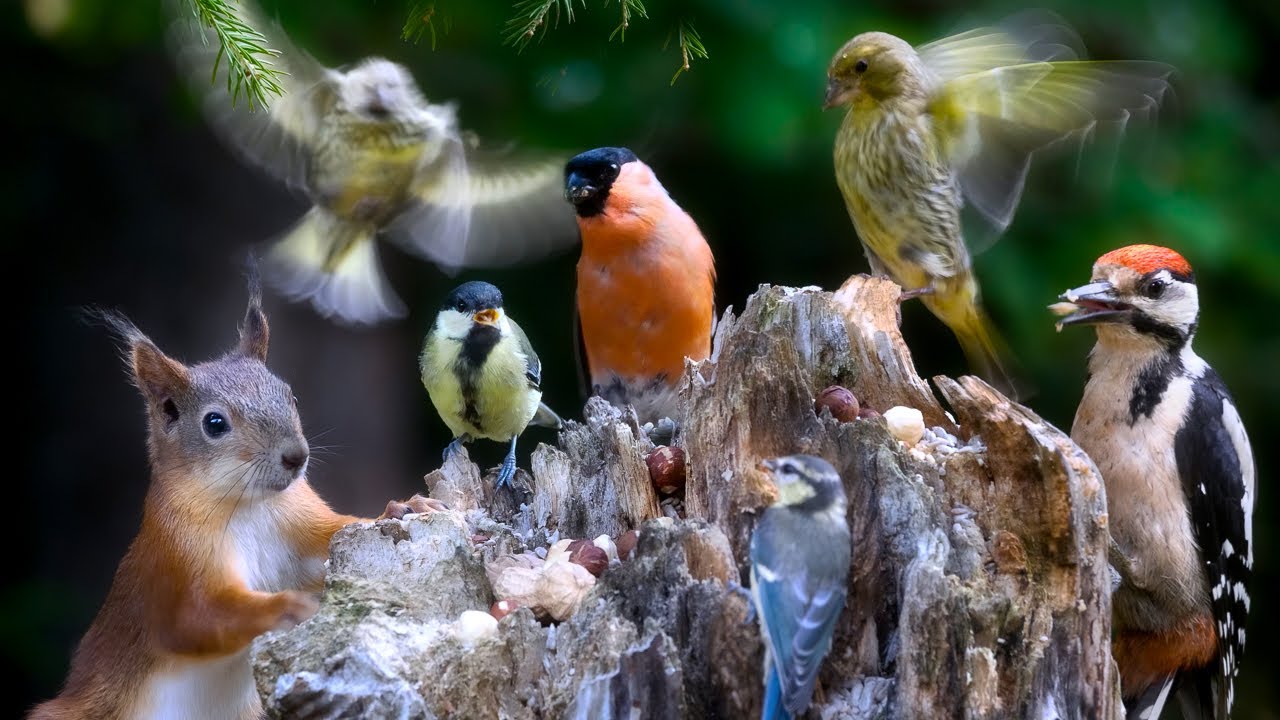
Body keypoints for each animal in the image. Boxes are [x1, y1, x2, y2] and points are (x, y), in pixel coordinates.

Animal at [29, 267, 442, 720]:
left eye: (290, 395)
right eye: (214, 423)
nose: (296, 457)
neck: (250, 506)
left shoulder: (301, 523)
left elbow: (334, 537)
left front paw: (401, 507)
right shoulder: (176, 563)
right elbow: (199, 617)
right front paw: (290, 607)